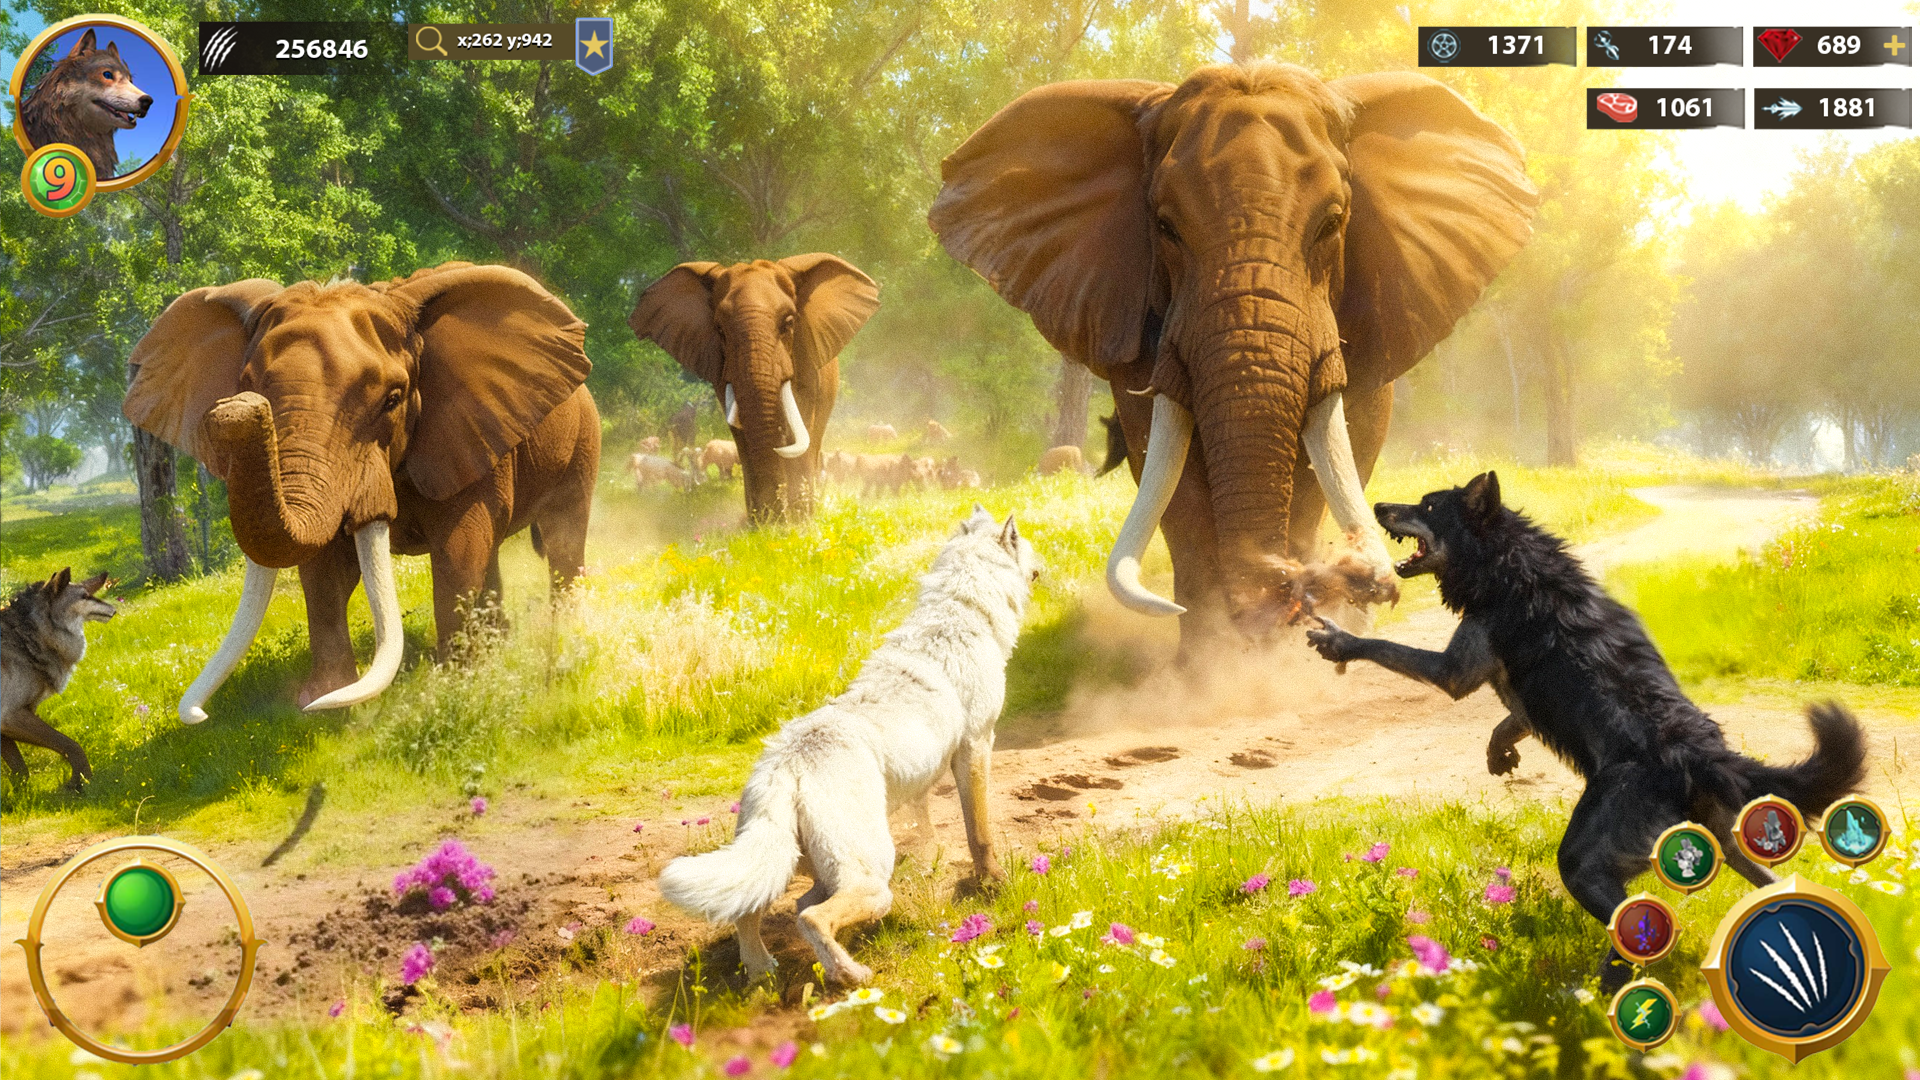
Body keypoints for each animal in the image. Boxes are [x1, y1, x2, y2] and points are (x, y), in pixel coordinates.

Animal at [1, 568, 116, 790]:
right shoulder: (10, 716)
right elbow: (72, 746)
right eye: (84, 596)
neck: (24, 640)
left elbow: (21, 773)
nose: (114, 609)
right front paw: (79, 783)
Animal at [659, 506, 1040, 985]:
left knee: (763, 910)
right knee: (811, 916)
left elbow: (932, 825)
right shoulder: (976, 747)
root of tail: (787, 763)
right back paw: (851, 975)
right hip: (872, 875)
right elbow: (980, 836)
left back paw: (764, 971)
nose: (1042, 566)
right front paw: (992, 884)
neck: (961, 613)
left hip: (783, 861)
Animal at [1305, 473, 1865, 991]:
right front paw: (1499, 754)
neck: (1506, 559)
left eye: (1425, 507)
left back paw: (1595, 995)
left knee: (1641, 928)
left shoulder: (1455, 671)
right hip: (1728, 845)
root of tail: (1697, 753)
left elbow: (1383, 647)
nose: (1379, 504)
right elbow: (1509, 724)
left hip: (1583, 864)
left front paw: (1339, 640)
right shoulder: (1519, 698)